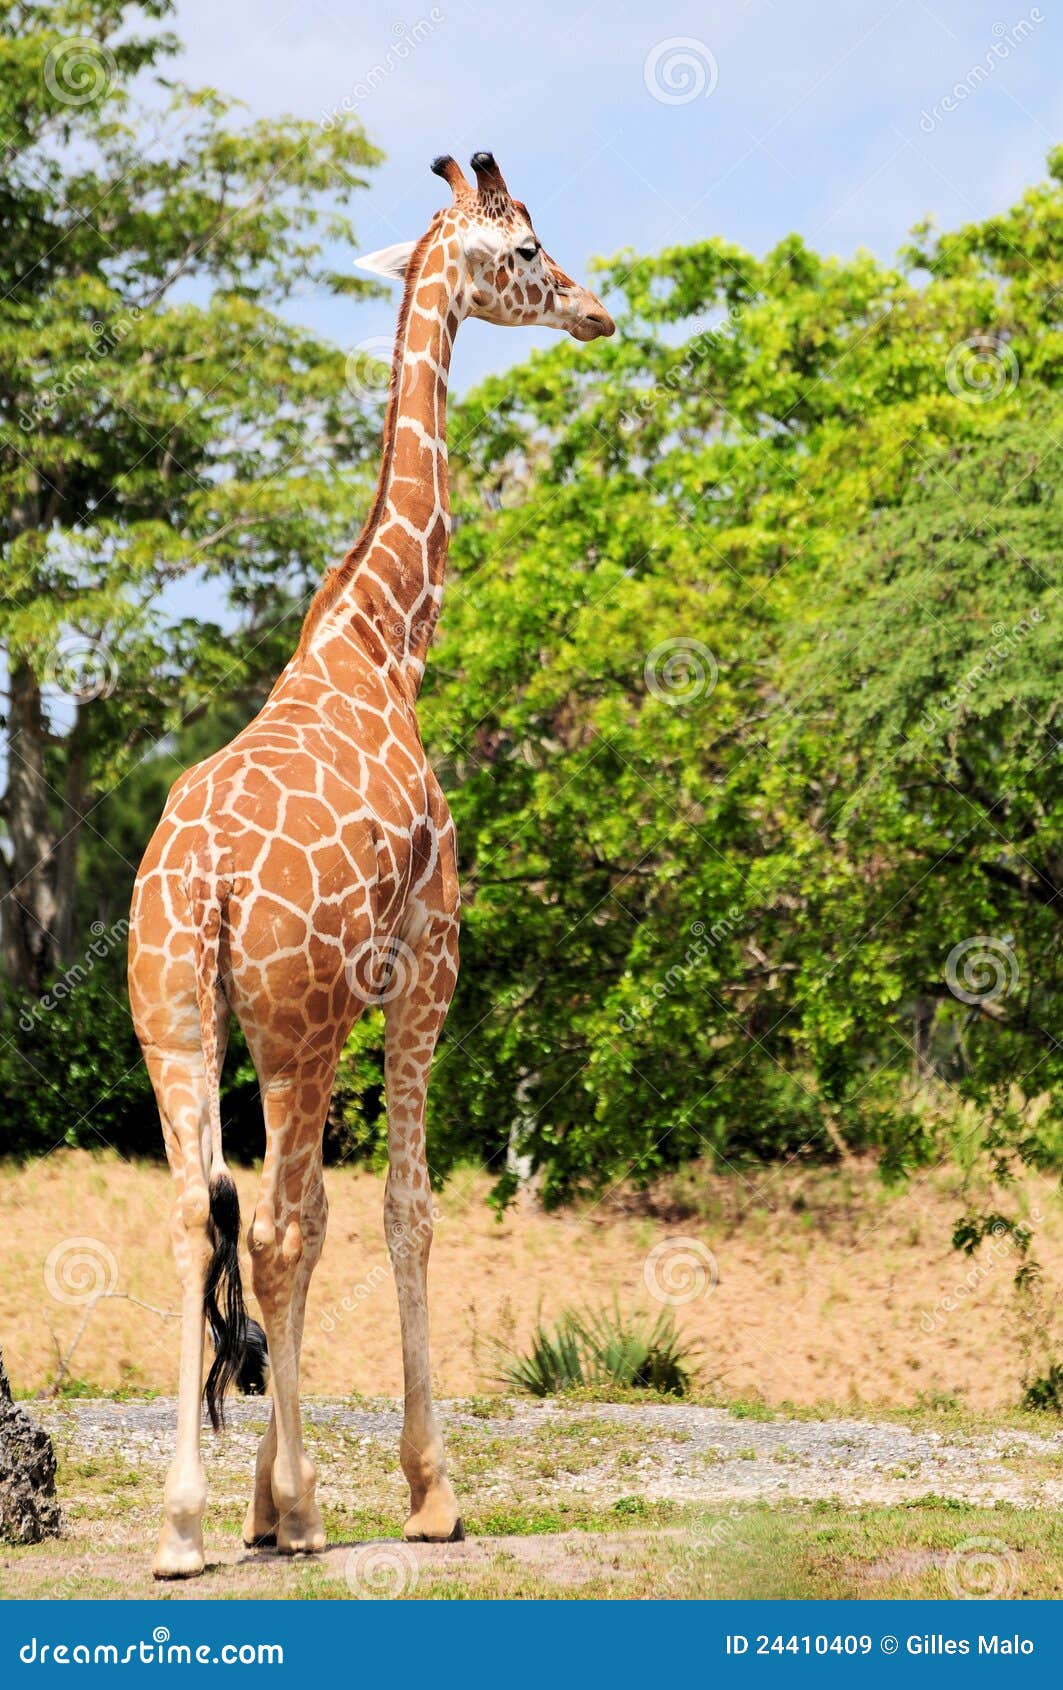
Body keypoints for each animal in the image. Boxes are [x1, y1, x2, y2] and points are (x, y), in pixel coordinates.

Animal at [128, 150, 614, 1580]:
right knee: (268, 1225)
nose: (595, 310)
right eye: (528, 247)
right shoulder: (421, 968)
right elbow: (401, 1210)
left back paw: (184, 1525)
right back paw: (287, 1508)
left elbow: (323, 1219)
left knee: (195, 1213)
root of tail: (206, 885)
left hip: (178, 1016)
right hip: (283, 1026)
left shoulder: (333, 1008)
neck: (382, 639)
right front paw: (420, 1490)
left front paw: (259, 1500)